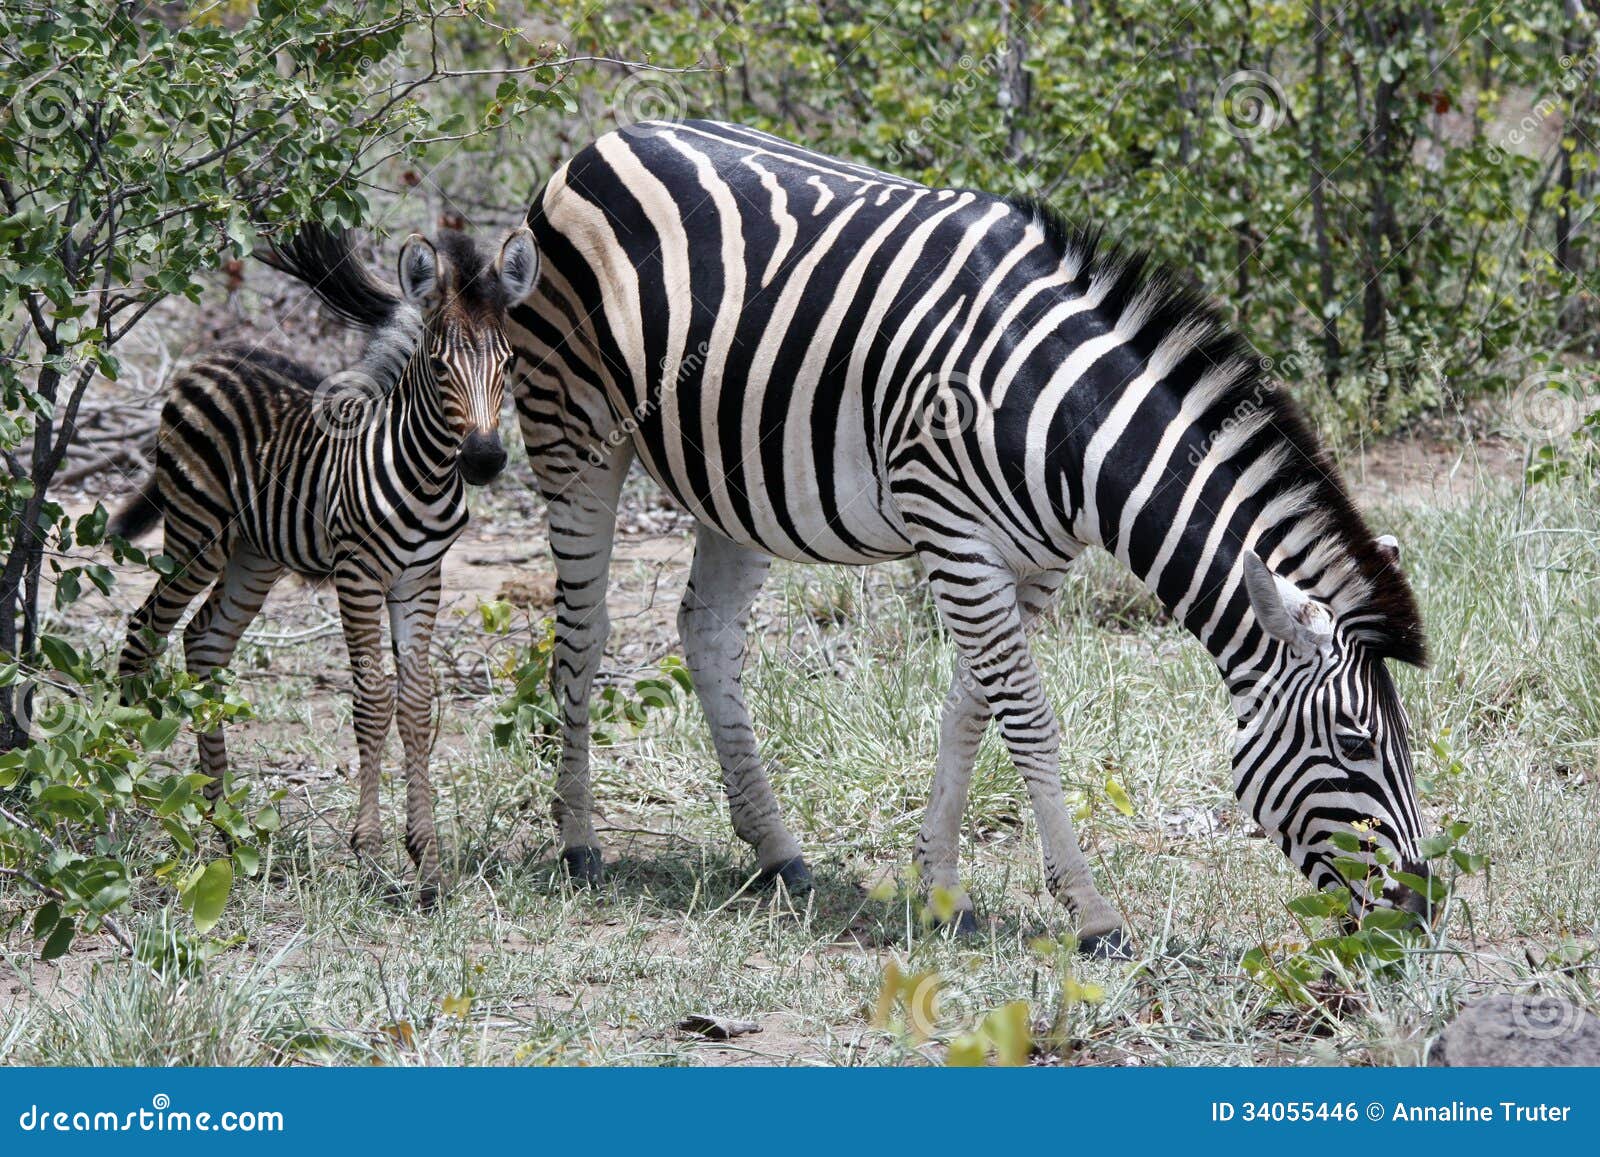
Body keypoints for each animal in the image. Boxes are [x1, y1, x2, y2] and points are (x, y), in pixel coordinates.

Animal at [110, 223, 540, 903]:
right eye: (439, 365)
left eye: (509, 363)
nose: (485, 460)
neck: (424, 474)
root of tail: (207, 359)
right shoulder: (358, 574)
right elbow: (372, 699)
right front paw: (369, 852)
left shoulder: (422, 580)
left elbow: (415, 703)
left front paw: (428, 864)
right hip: (196, 531)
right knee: (144, 631)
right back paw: (121, 794)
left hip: (254, 555)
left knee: (205, 642)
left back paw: (222, 821)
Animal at [507, 120, 1429, 953]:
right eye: (1355, 744)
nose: (1416, 918)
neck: (1067, 419)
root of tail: (602, 140)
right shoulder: (953, 532)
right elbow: (1028, 719)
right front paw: (1091, 912)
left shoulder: (1034, 561)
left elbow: (970, 709)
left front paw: (940, 889)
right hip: (574, 427)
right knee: (583, 632)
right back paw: (579, 842)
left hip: (729, 472)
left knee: (707, 634)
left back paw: (777, 852)